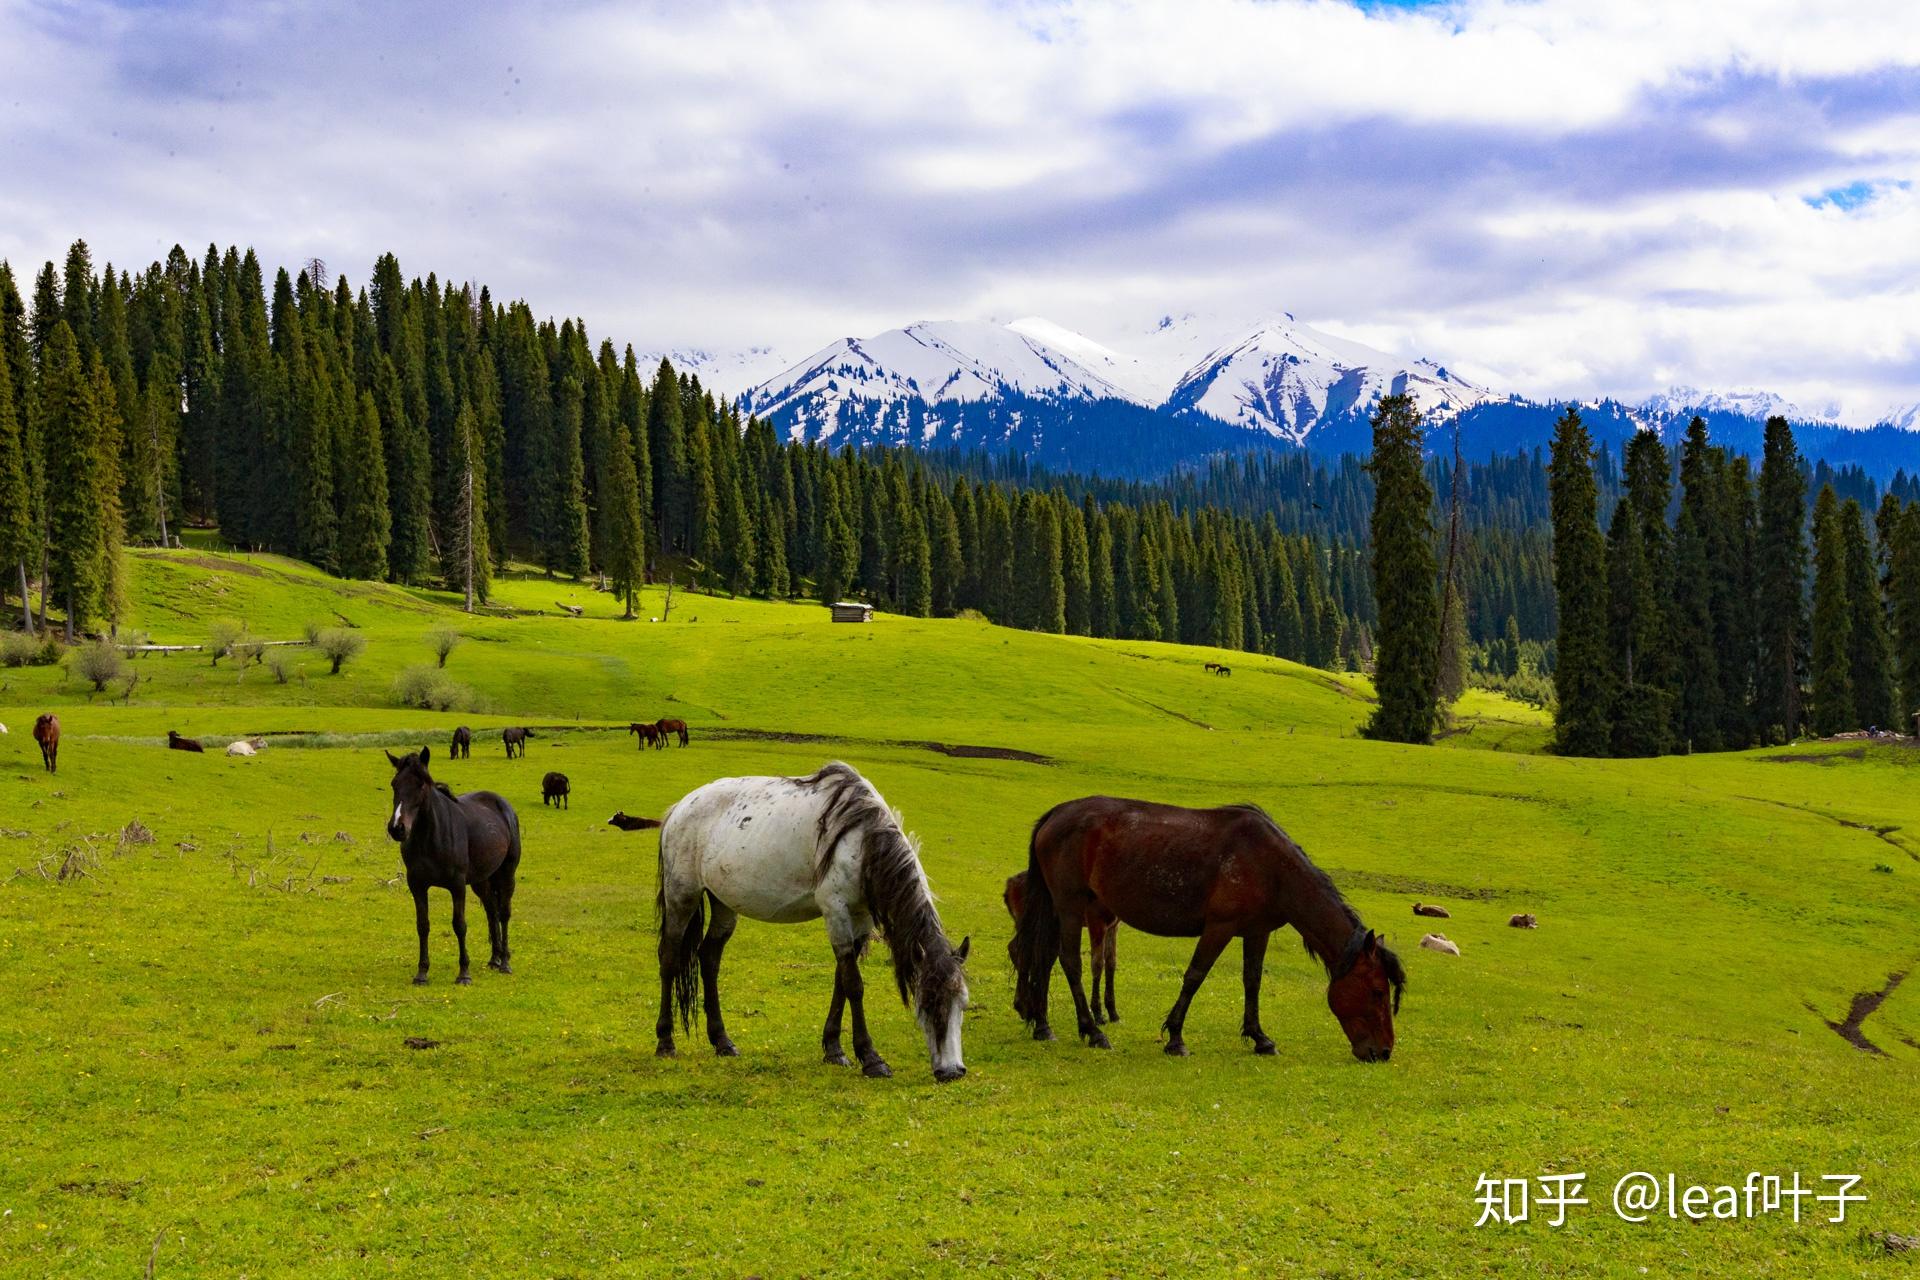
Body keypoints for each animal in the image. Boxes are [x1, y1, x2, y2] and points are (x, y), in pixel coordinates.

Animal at [385, 747, 522, 984]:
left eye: (421, 784)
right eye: (395, 784)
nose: (397, 828)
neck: (431, 837)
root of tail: (504, 806)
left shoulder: (457, 886)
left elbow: (459, 925)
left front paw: (464, 973)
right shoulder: (417, 885)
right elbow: (423, 925)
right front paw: (422, 973)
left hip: (506, 874)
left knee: (504, 913)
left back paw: (505, 962)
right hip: (481, 881)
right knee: (491, 911)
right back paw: (494, 959)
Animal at [650, 762, 971, 1081]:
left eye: (963, 1004)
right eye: (928, 1003)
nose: (953, 1071)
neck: (861, 839)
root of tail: (678, 809)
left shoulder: (861, 919)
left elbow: (841, 982)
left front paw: (834, 1050)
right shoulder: (836, 911)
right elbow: (854, 984)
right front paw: (871, 1058)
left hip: (723, 903)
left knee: (709, 958)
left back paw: (722, 1042)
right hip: (683, 896)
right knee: (670, 958)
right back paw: (665, 1042)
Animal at [1004, 871, 1118, 1024]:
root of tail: (1008, 887)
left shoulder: (1114, 924)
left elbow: (1111, 962)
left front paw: (1113, 1012)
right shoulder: (1095, 919)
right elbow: (1098, 963)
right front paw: (1098, 1013)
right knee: (1017, 949)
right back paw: (1024, 1005)